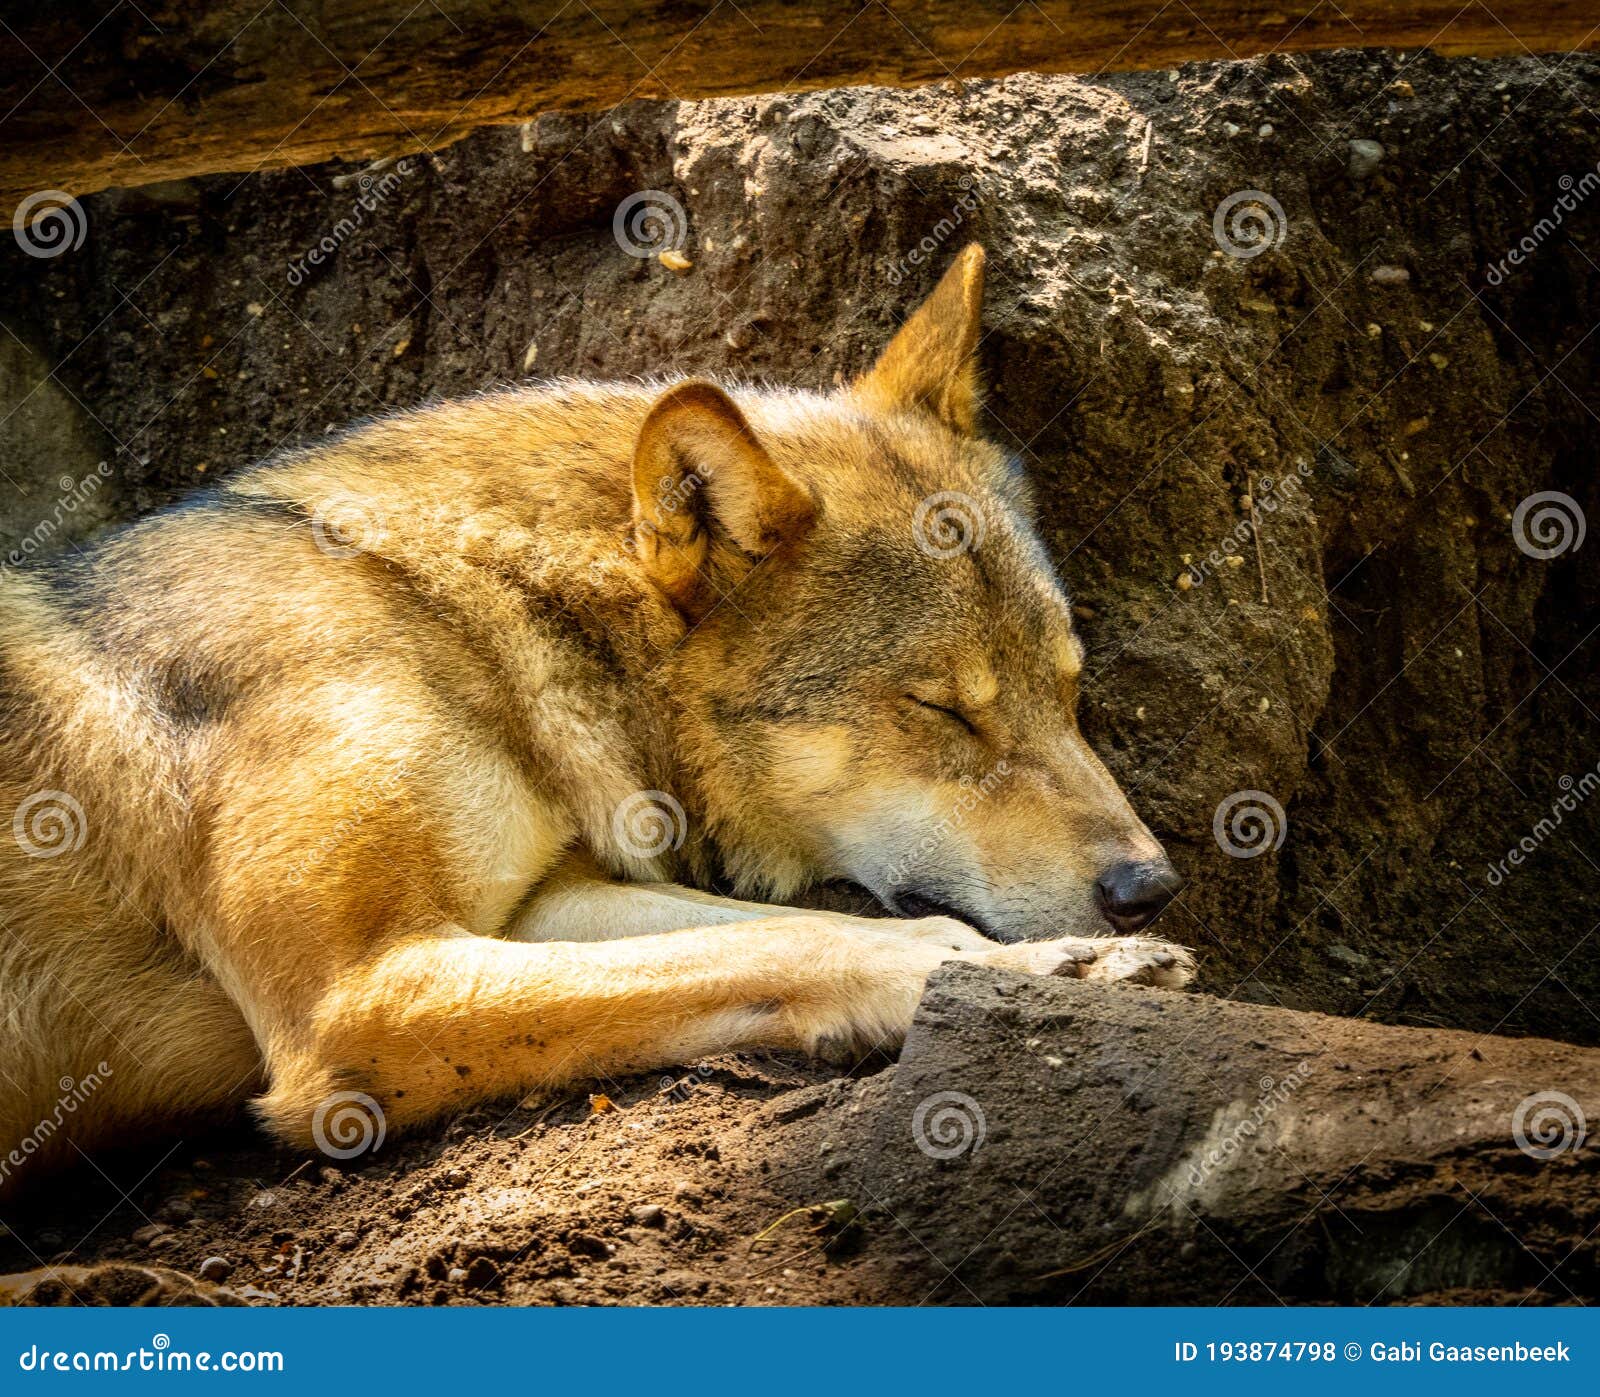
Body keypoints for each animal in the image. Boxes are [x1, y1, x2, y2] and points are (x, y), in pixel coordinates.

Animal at [0, 243, 1191, 1187]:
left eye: (1070, 690)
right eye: (943, 709)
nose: (1150, 888)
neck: (450, 614)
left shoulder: (533, 903)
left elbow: (791, 927)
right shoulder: (357, 997)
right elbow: (820, 937)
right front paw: (1040, 972)